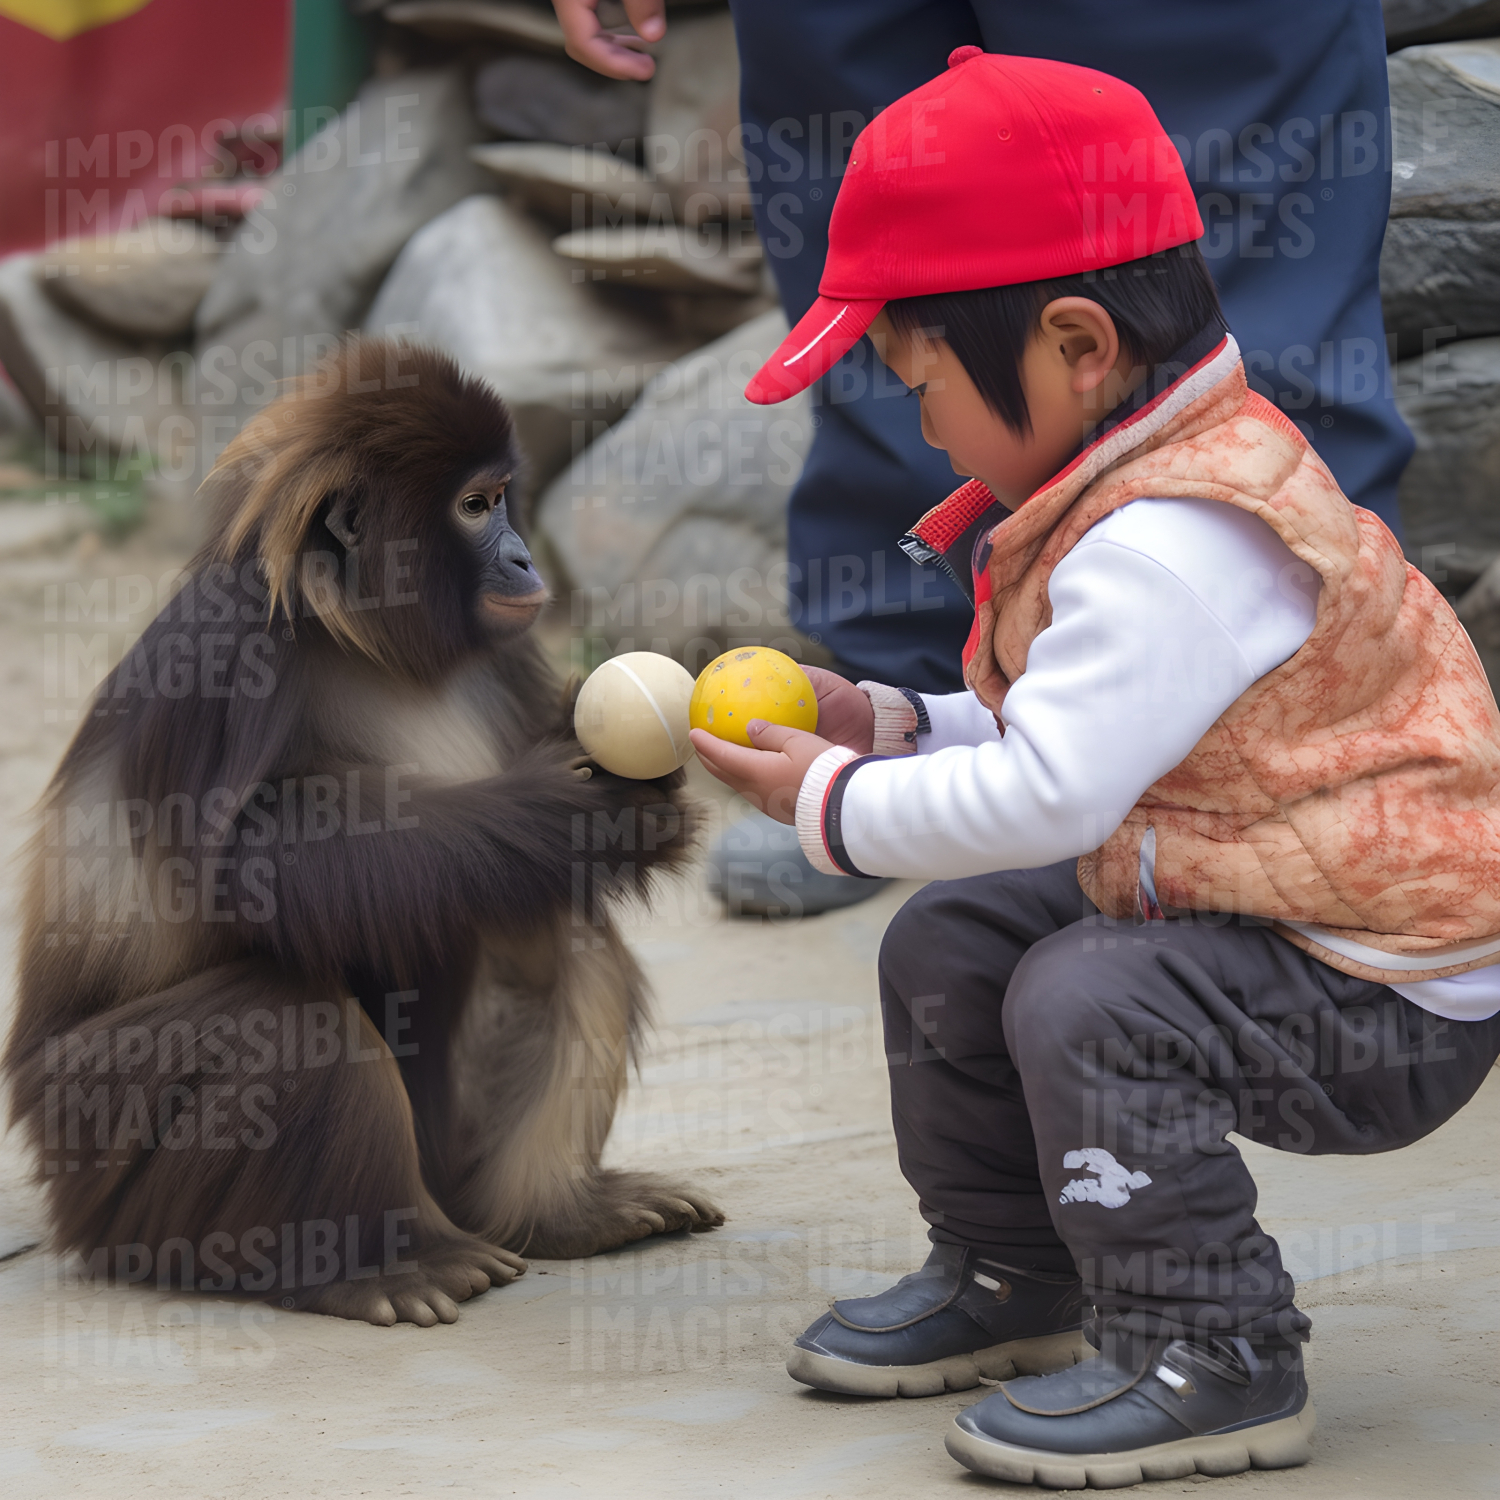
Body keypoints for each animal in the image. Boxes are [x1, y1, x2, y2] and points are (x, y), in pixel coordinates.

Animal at [4, 337, 722, 1326]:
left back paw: (554, 1212)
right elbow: (241, 867)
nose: (524, 558)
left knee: (561, 940)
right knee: (287, 1020)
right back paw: (381, 1260)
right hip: (94, 1142)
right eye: (475, 506)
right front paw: (578, 812)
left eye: (503, 496)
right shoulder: (226, 651)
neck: (355, 635)